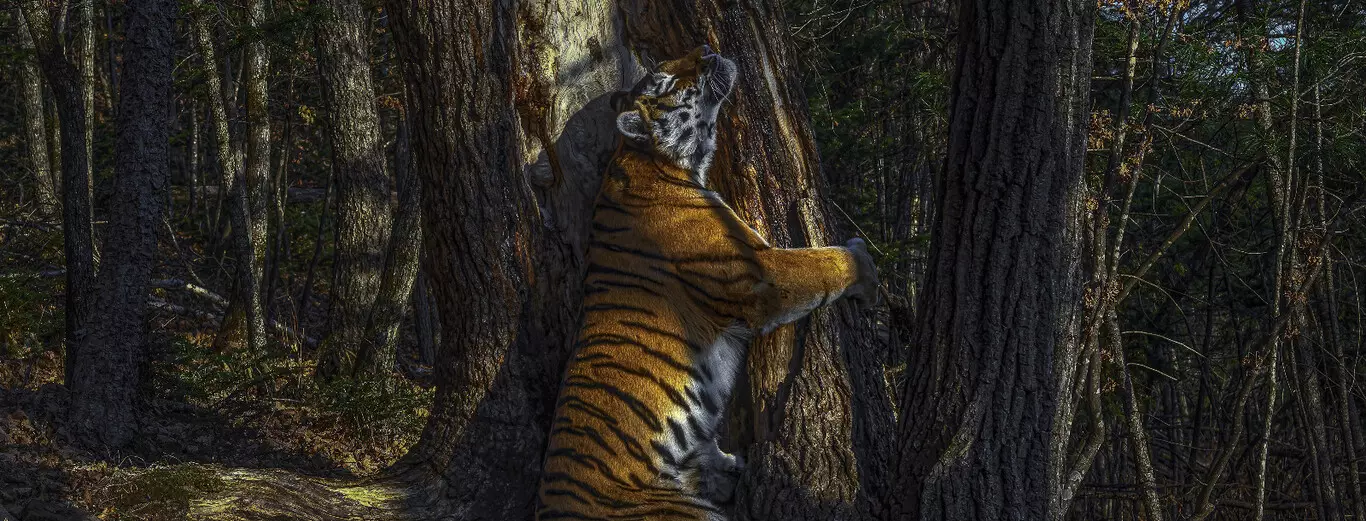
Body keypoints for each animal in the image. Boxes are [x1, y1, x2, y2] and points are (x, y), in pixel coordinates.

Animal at [532, 46, 874, 516]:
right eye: (669, 82)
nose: (707, 50)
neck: (654, 162)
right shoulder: (759, 274)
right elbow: (819, 264)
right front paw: (865, 263)